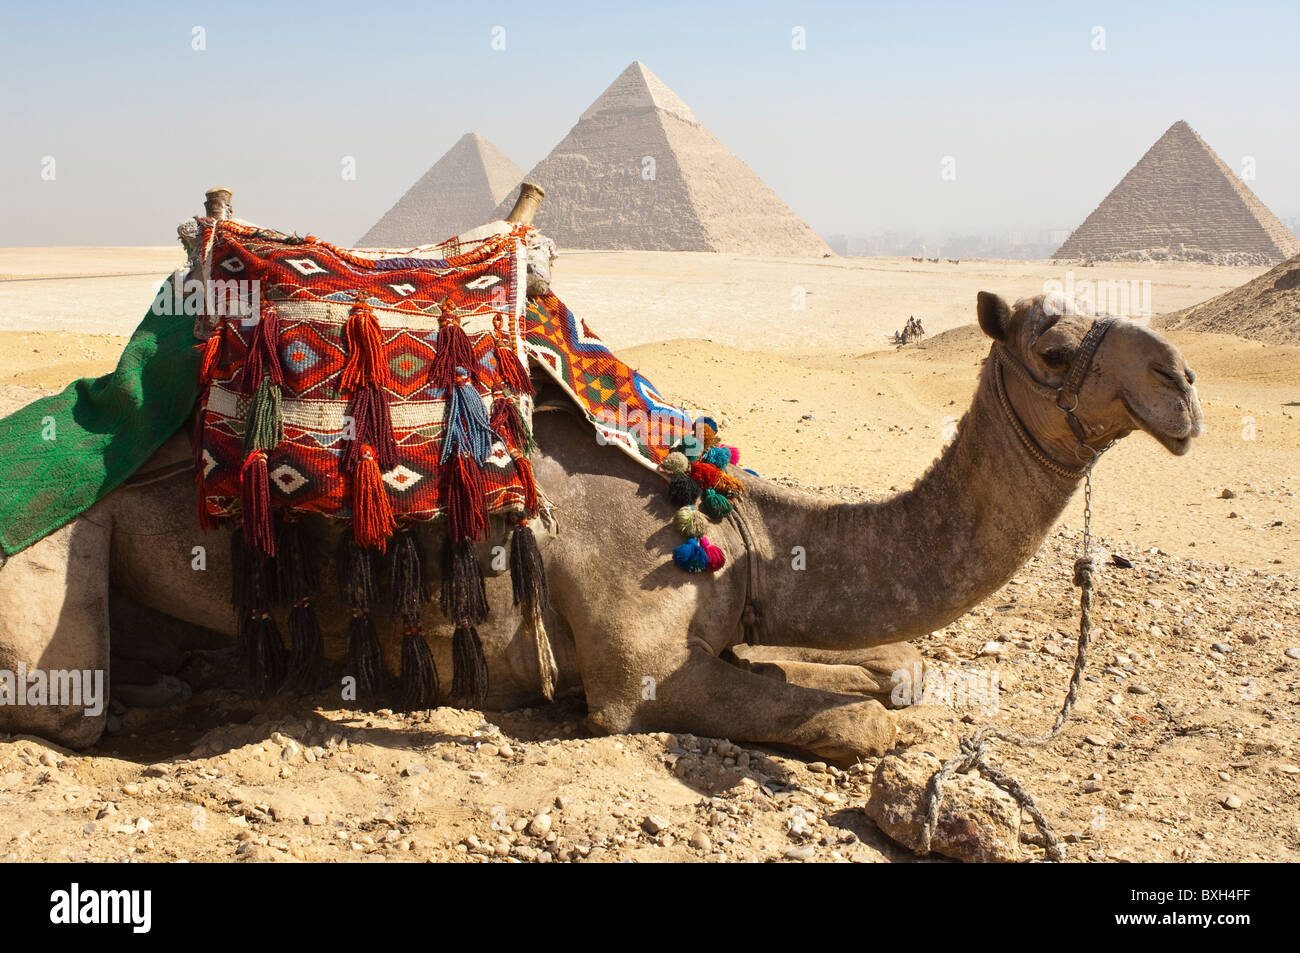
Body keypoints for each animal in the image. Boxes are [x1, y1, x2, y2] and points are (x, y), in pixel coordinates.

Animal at [0, 214, 1203, 765]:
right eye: (1053, 347)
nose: (1181, 384)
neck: (732, 528)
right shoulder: (638, 681)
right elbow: (863, 722)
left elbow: (891, 666)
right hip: (56, 573)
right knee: (67, 703)